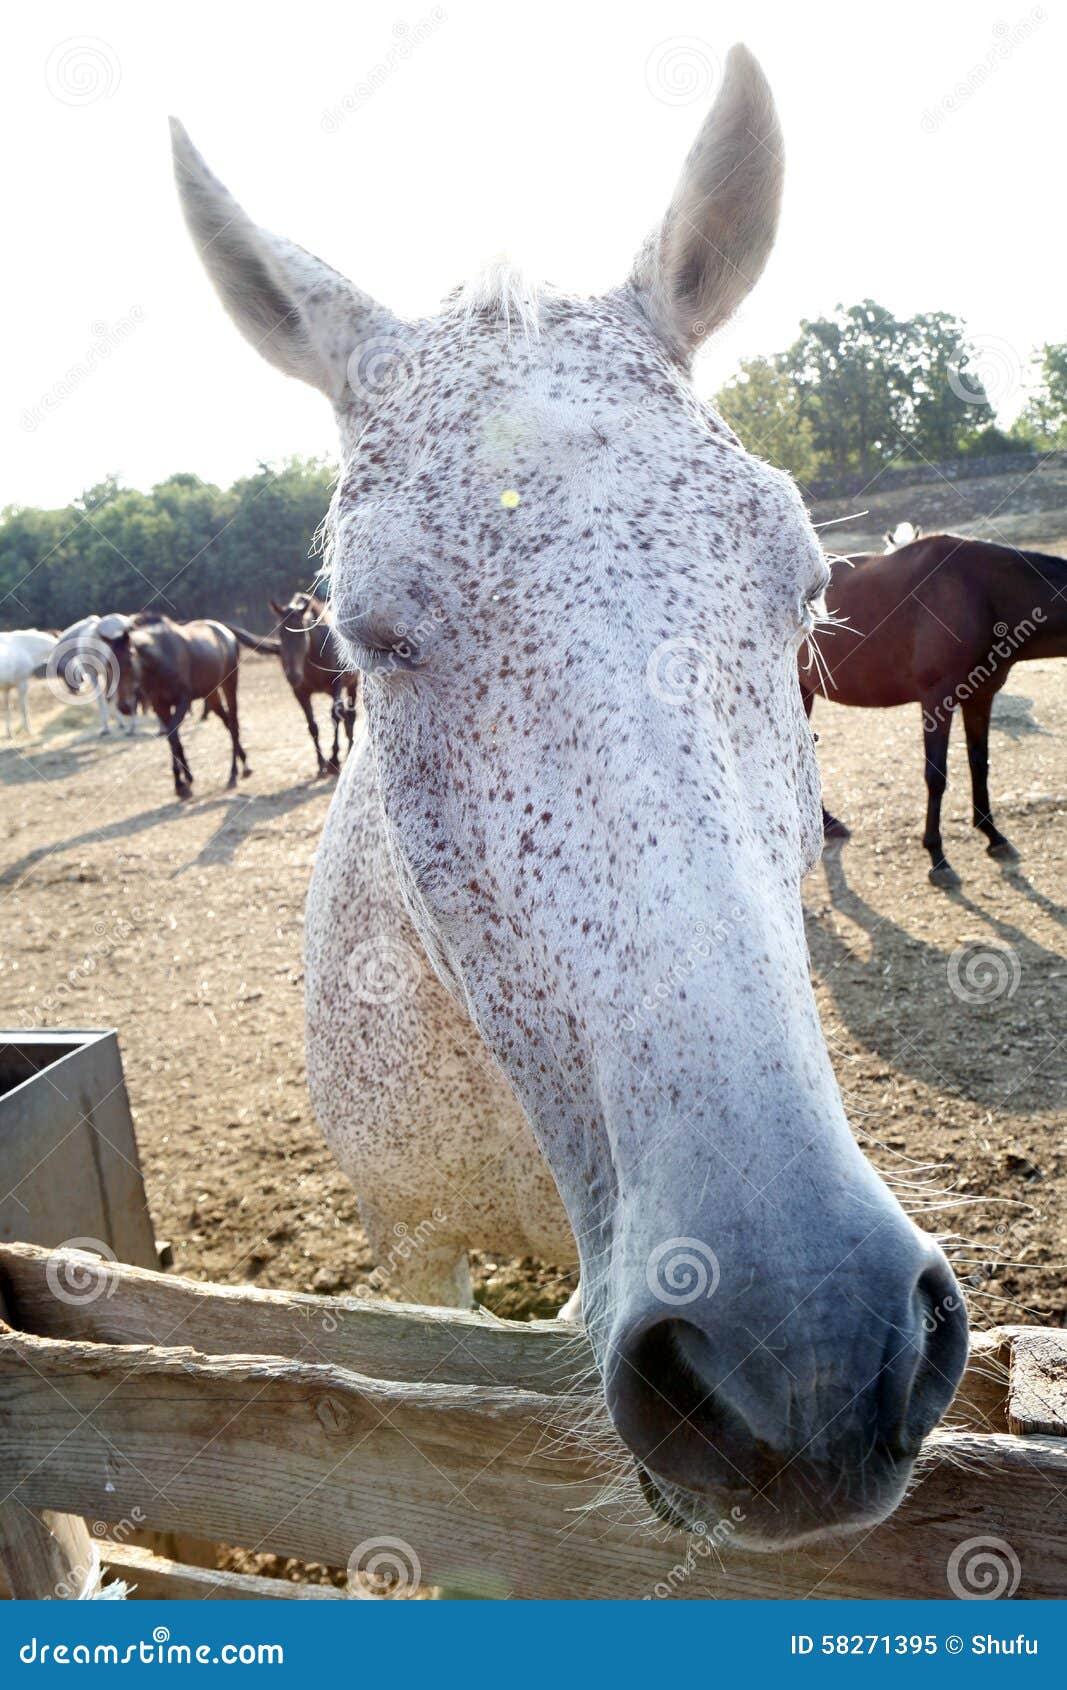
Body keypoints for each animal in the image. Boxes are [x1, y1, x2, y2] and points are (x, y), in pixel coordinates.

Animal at [98, 612, 278, 797]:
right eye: (108, 666)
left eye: (128, 661)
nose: (124, 707)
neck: (161, 658)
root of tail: (223, 629)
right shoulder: (160, 706)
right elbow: (174, 739)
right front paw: (186, 779)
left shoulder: (183, 701)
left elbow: (172, 736)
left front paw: (180, 783)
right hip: (211, 694)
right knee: (227, 721)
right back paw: (243, 761)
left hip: (229, 685)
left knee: (234, 723)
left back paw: (234, 773)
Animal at [267, 591, 360, 776]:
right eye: (280, 634)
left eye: (302, 634)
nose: (293, 675)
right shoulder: (300, 692)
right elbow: (312, 725)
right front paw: (321, 763)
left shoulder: (337, 684)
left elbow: (334, 716)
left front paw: (334, 760)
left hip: (352, 684)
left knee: (350, 715)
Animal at [800, 533, 1067, 886]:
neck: (980, 592)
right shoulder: (937, 700)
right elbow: (936, 776)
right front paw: (937, 856)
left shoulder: (980, 698)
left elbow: (979, 764)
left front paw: (993, 835)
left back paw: (828, 823)